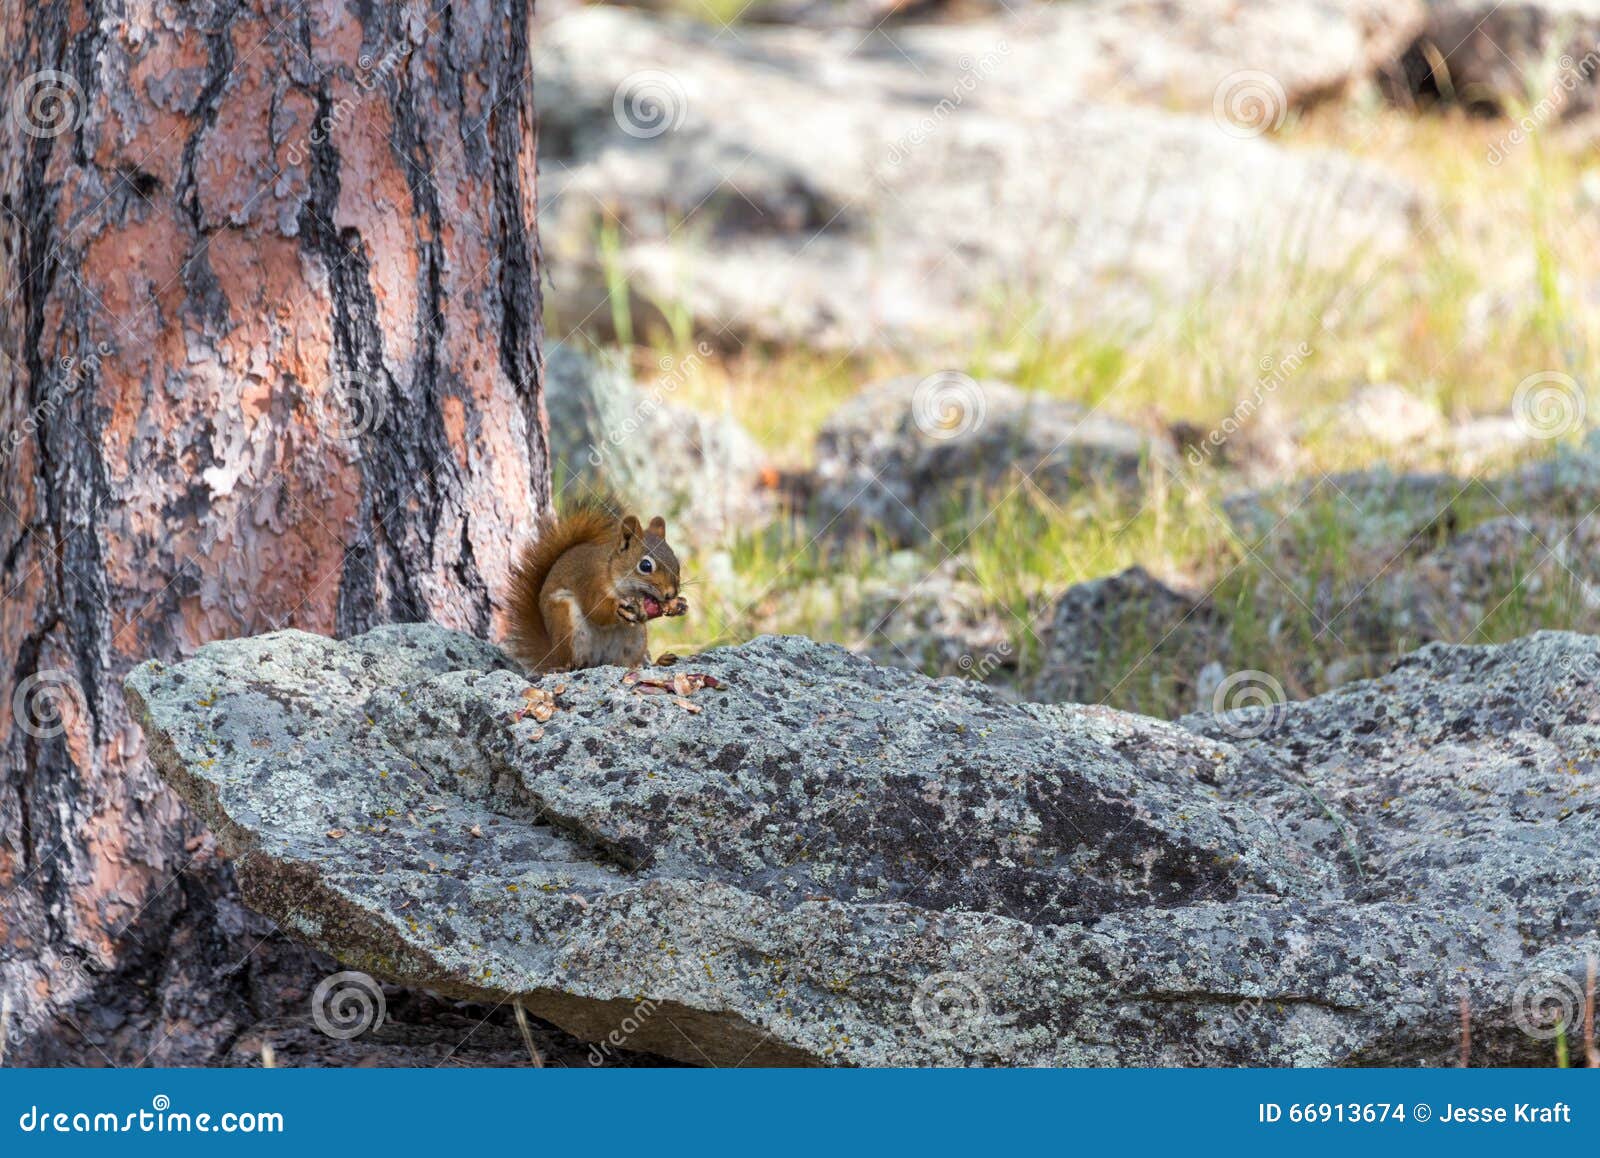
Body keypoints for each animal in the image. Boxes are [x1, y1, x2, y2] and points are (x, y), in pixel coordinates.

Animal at [504, 500, 686, 672]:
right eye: (646, 566)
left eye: (676, 562)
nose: (671, 593)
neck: (611, 570)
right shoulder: (591, 581)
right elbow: (596, 610)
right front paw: (619, 609)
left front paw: (678, 605)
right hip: (567, 624)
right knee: (574, 661)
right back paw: (571, 666)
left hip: (636, 639)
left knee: (628, 664)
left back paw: (655, 662)